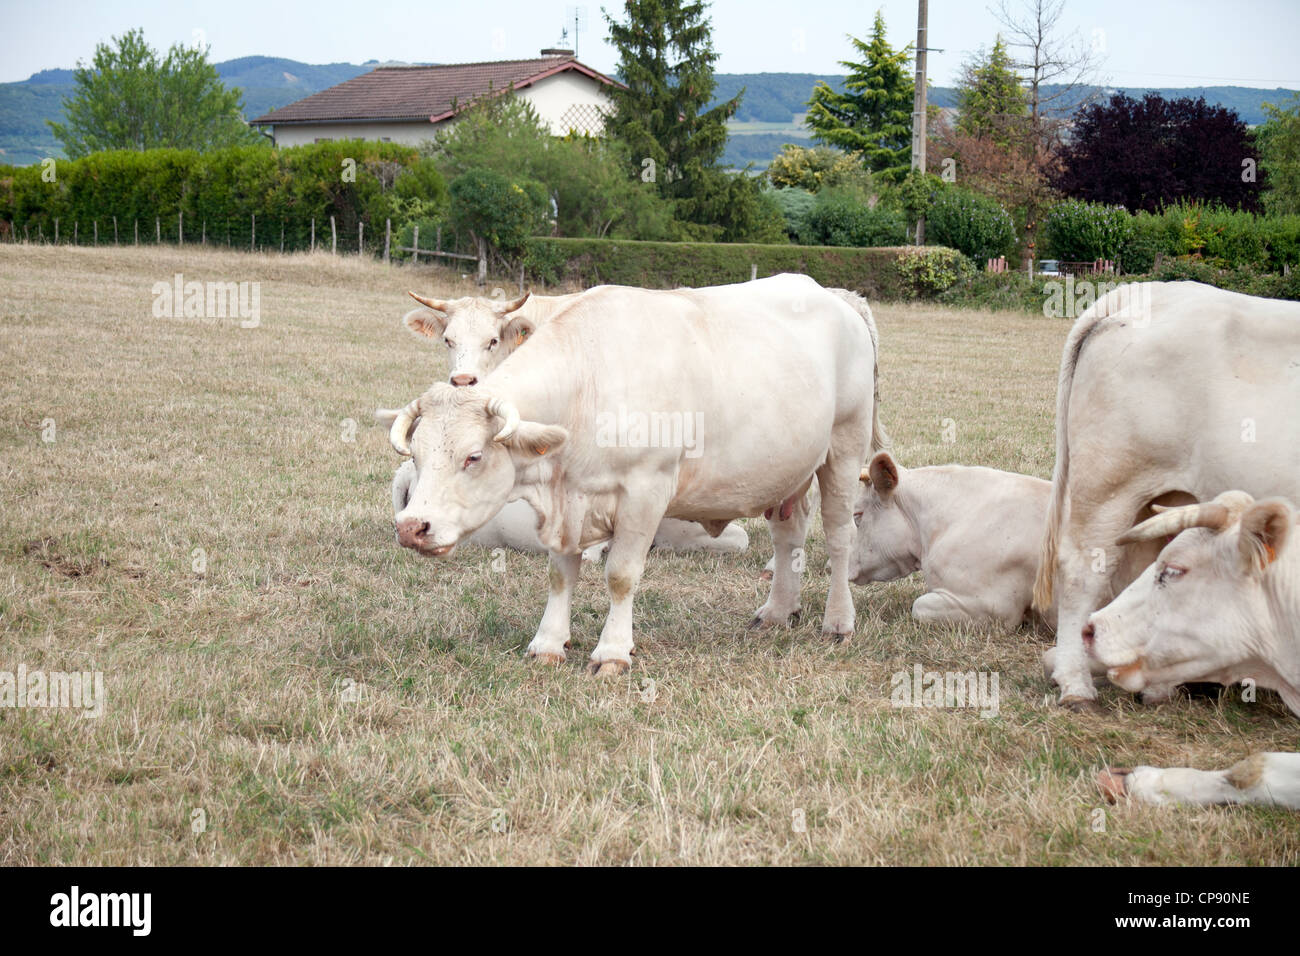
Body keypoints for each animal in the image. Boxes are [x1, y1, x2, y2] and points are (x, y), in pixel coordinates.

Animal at [383, 274, 886, 674]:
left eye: (473, 456)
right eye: (417, 454)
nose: (411, 527)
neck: (587, 384)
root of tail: (835, 296)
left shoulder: (647, 490)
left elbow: (621, 575)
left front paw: (612, 652)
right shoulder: (568, 500)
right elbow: (560, 575)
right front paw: (548, 644)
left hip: (844, 446)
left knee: (839, 535)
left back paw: (838, 621)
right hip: (787, 468)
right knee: (789, 535)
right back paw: (778, 611)